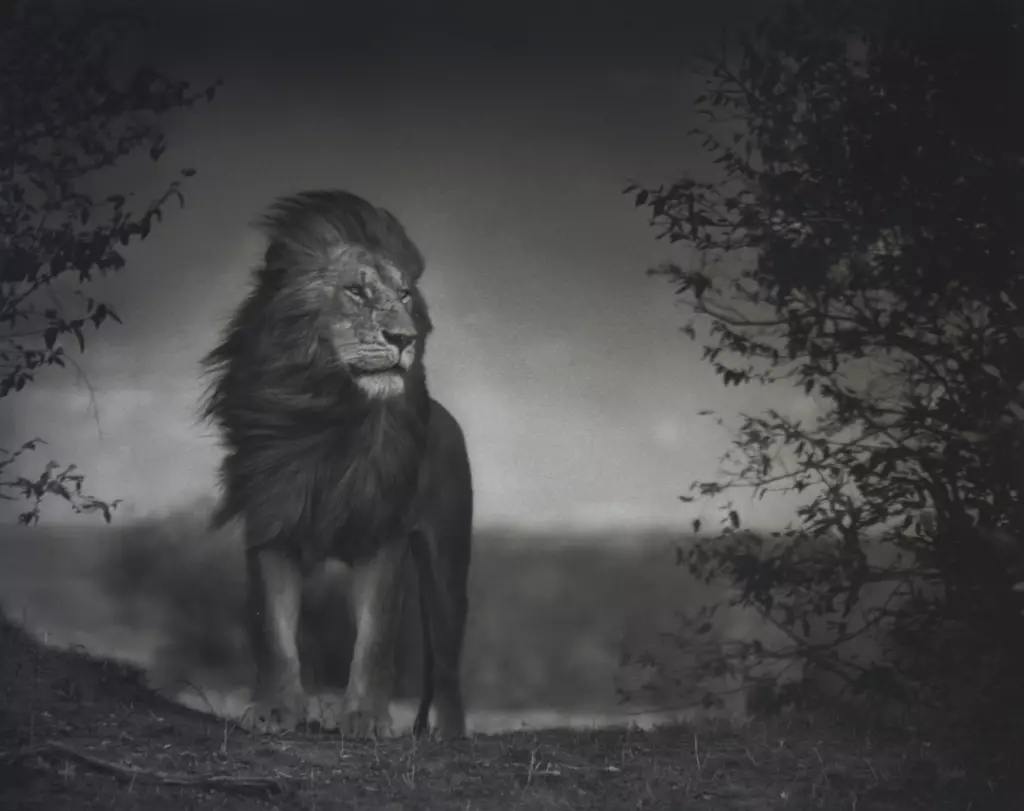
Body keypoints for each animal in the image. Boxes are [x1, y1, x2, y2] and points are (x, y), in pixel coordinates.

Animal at [201, 190, 473, 741]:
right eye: (356, 291)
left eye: (405, 295)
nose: (405, 338)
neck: (327, 418)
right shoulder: (271, 525)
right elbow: (274, 633)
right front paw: (274, 710)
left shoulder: (383, 535)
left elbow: (374, 638)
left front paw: (364, 718)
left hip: (447, 567)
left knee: (448, 663)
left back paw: (448, 736)